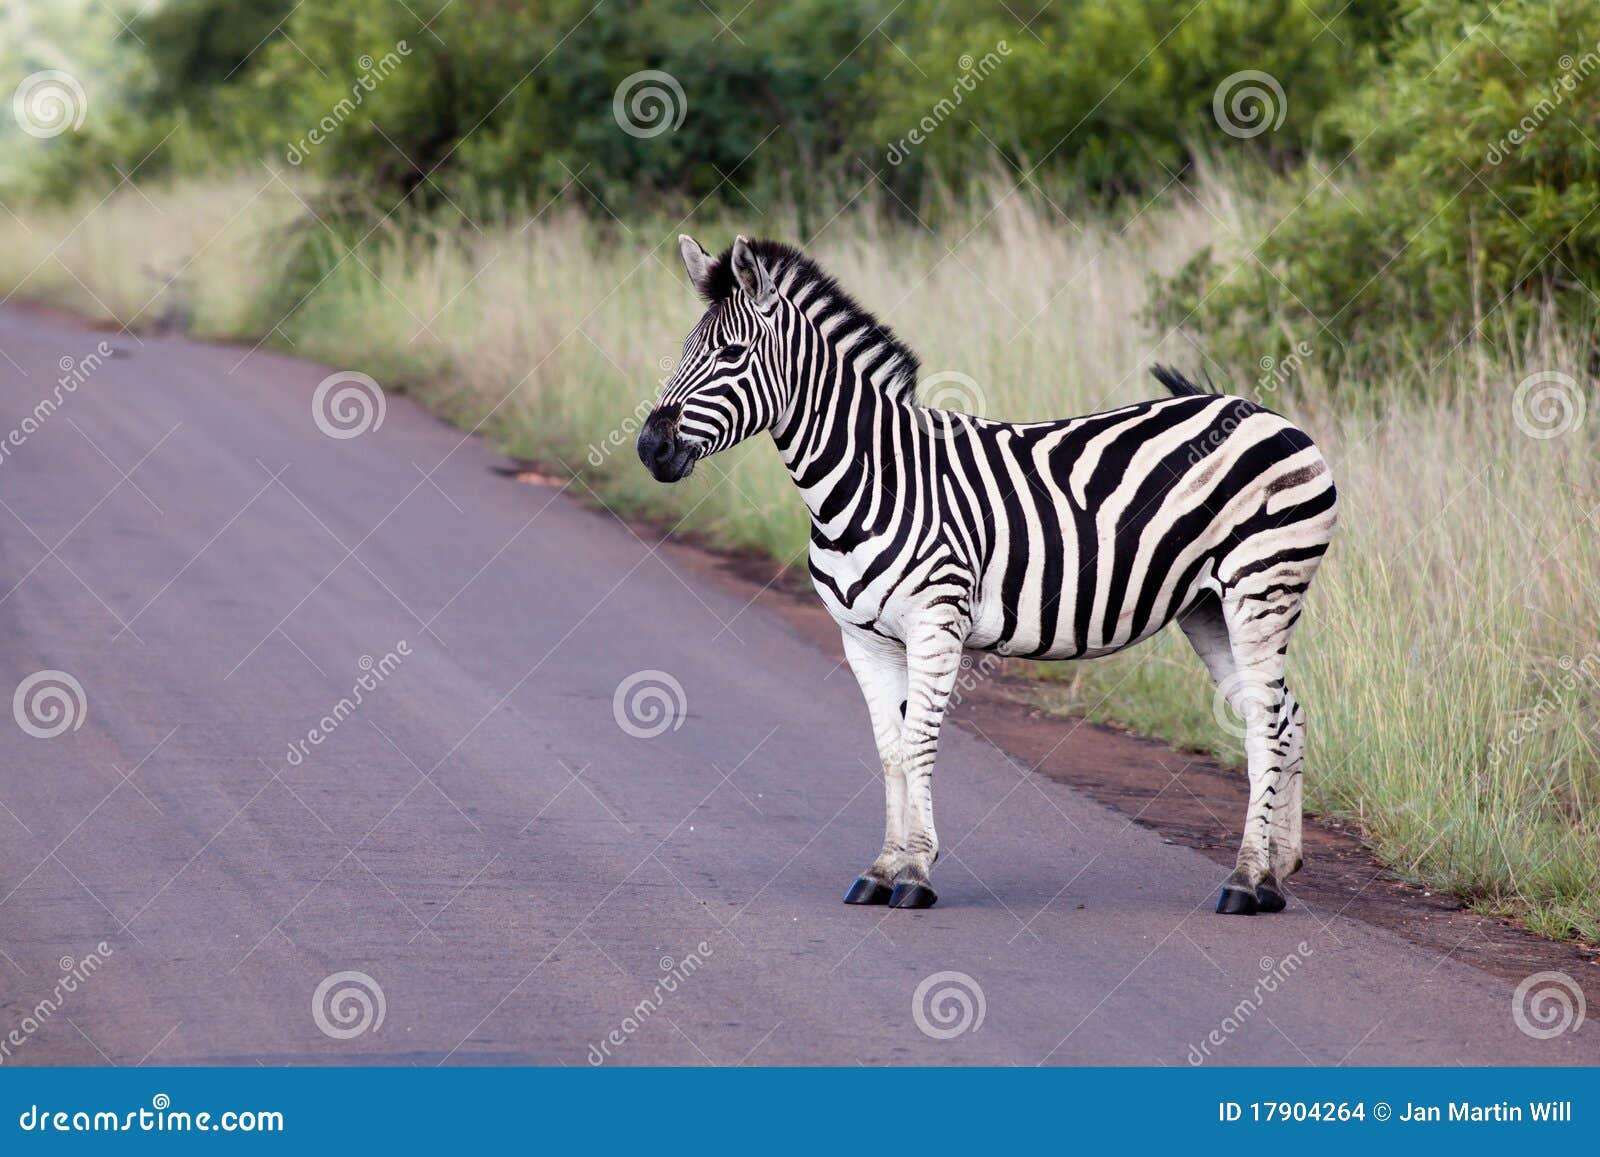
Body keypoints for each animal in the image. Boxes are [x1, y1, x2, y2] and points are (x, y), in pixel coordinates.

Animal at [636, 235, 1337, 915]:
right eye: (686, 349)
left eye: (731, 353)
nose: (649, 448)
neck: (867, 483)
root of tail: (1267, 414)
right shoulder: (862, 639)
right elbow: (890, 750)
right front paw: (882, 869)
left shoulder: (936, 623)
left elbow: (919, 742)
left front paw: (916, 873)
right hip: (1209, 608)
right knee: (1283, 717)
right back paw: (1275, 875)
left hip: (1262, 587)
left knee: (1266, 725)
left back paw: (1245, 881)